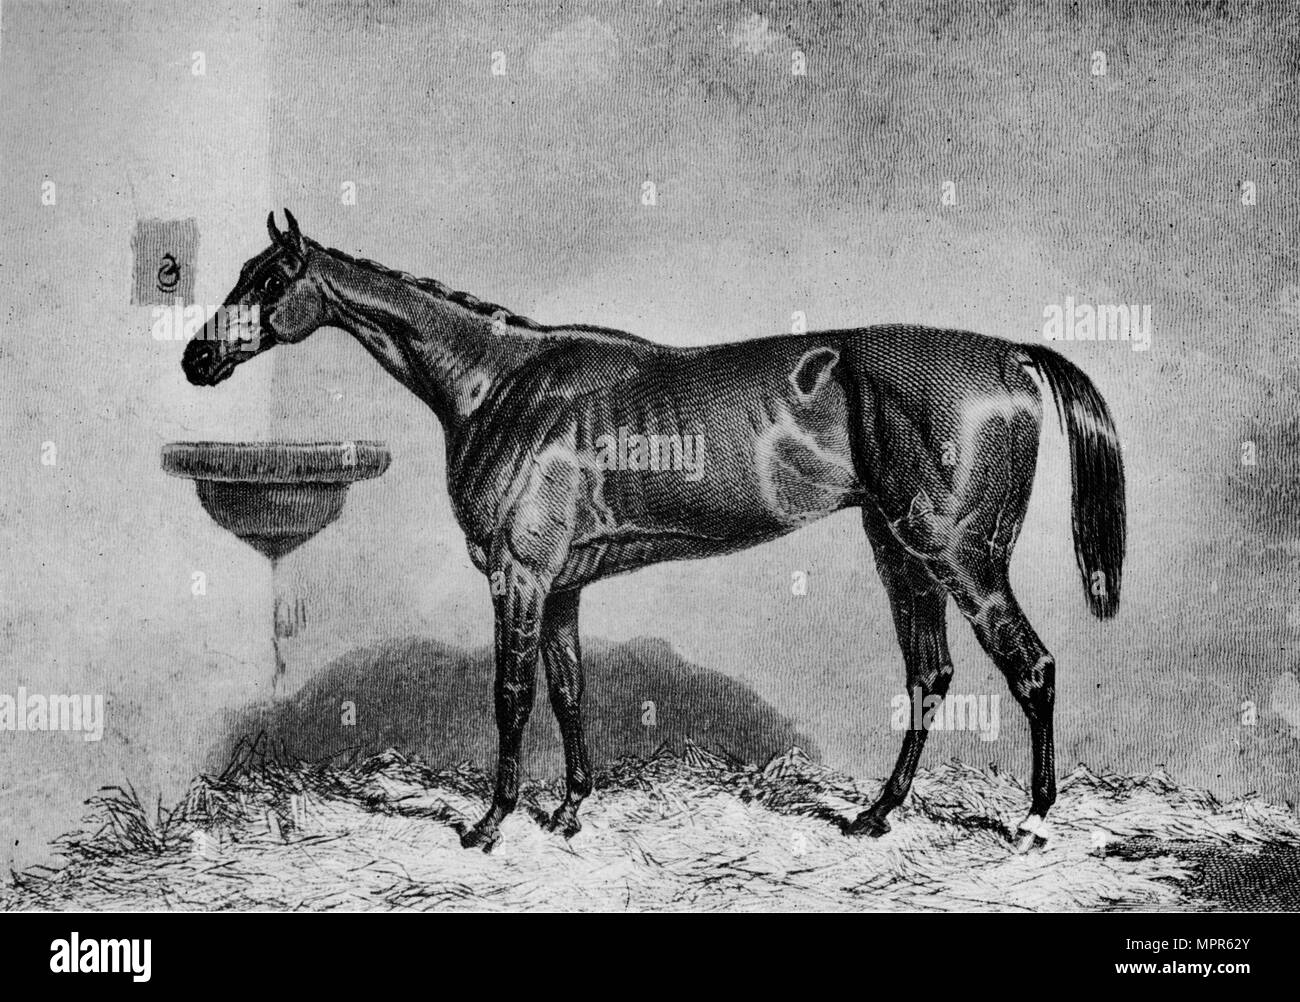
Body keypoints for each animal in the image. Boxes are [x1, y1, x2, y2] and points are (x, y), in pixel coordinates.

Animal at [182, 210, 1126, 853]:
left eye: (270, 279)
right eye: (242, 272)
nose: (197, 357)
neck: (501, 384)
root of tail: (1007, 354)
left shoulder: (520, 576)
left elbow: (511, 695)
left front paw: (491, 822)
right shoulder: (559, 585)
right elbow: (568, 690)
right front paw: (569, 808)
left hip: (961, 556)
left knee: (1032, 670)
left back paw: (1034, 821)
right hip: (900, 551)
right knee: (929, 676)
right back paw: (875, 815)